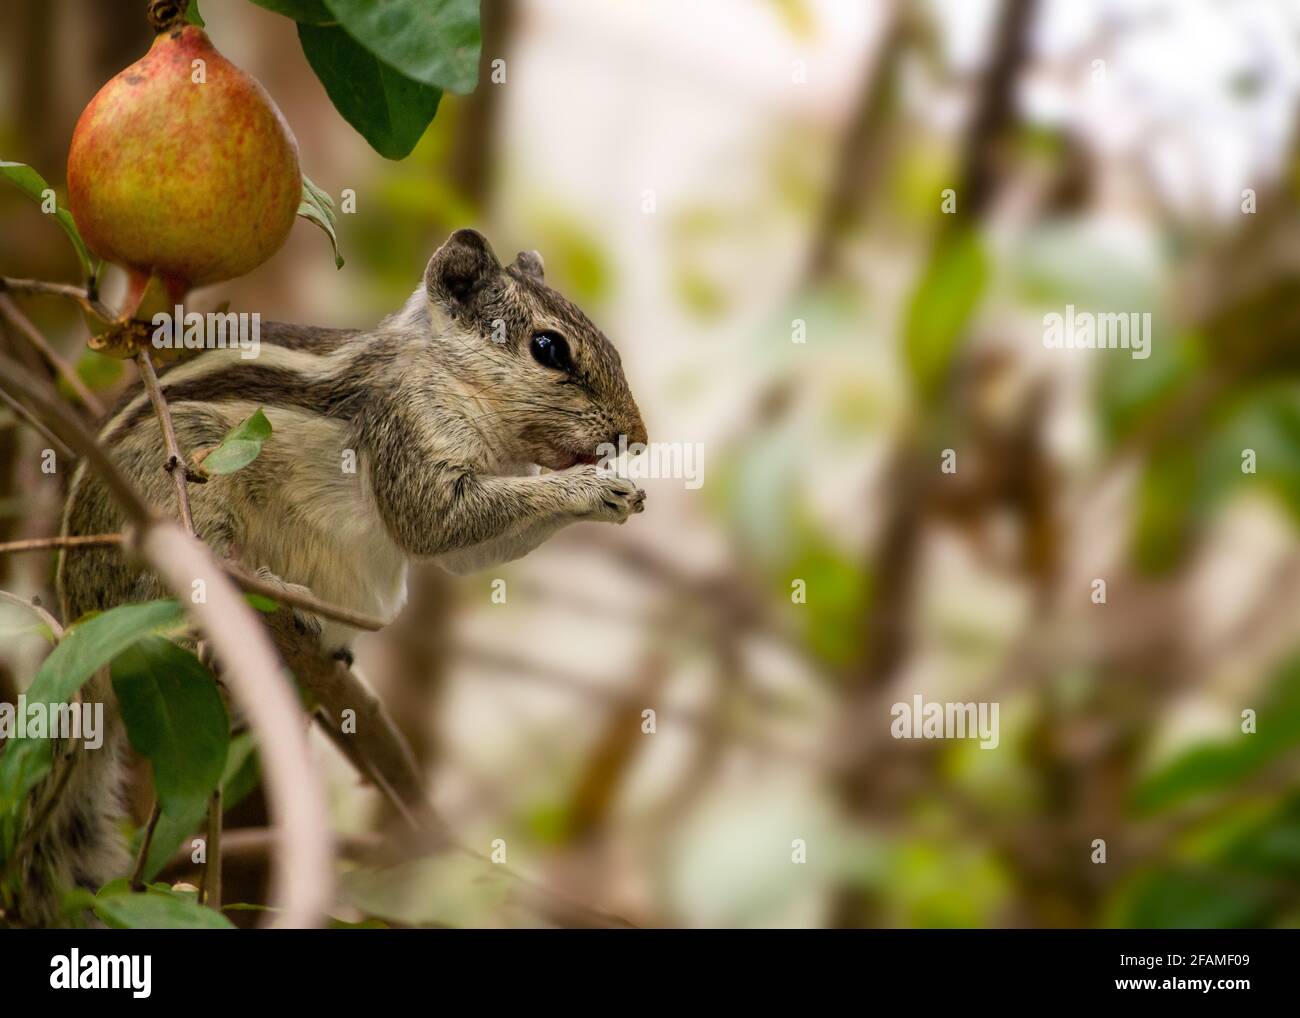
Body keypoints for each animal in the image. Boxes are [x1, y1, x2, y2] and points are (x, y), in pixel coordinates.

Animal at [14, 228, 648, 926]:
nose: (638, 437)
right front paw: (590, 487)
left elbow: (464, 552)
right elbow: (434, 524)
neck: (443, 374)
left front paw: (613, 495)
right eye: (549, 348)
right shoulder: (405, 431)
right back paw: (276, 595)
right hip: (177, 497)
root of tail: (77, 617)